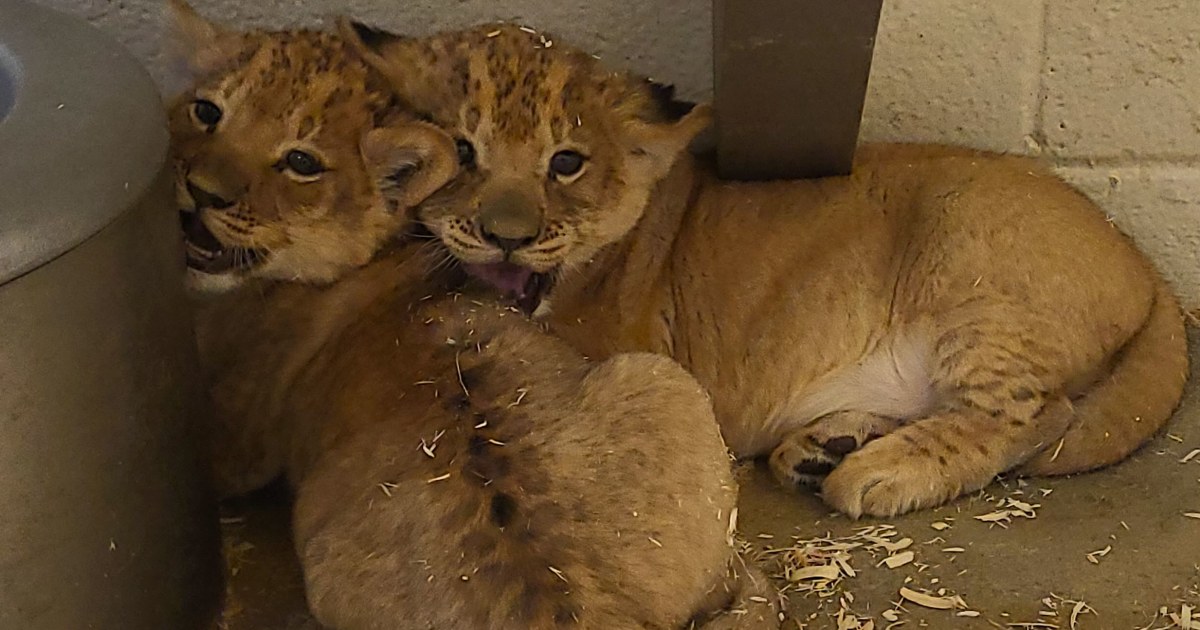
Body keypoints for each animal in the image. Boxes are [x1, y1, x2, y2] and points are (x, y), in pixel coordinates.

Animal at [344, 22, 1189, 518]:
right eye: (462, 150)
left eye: (567, 163)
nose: (507, 238)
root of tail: (1148, 266)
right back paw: (826, 449)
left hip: (974, 277)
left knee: (1037, 414)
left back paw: (873, 473)